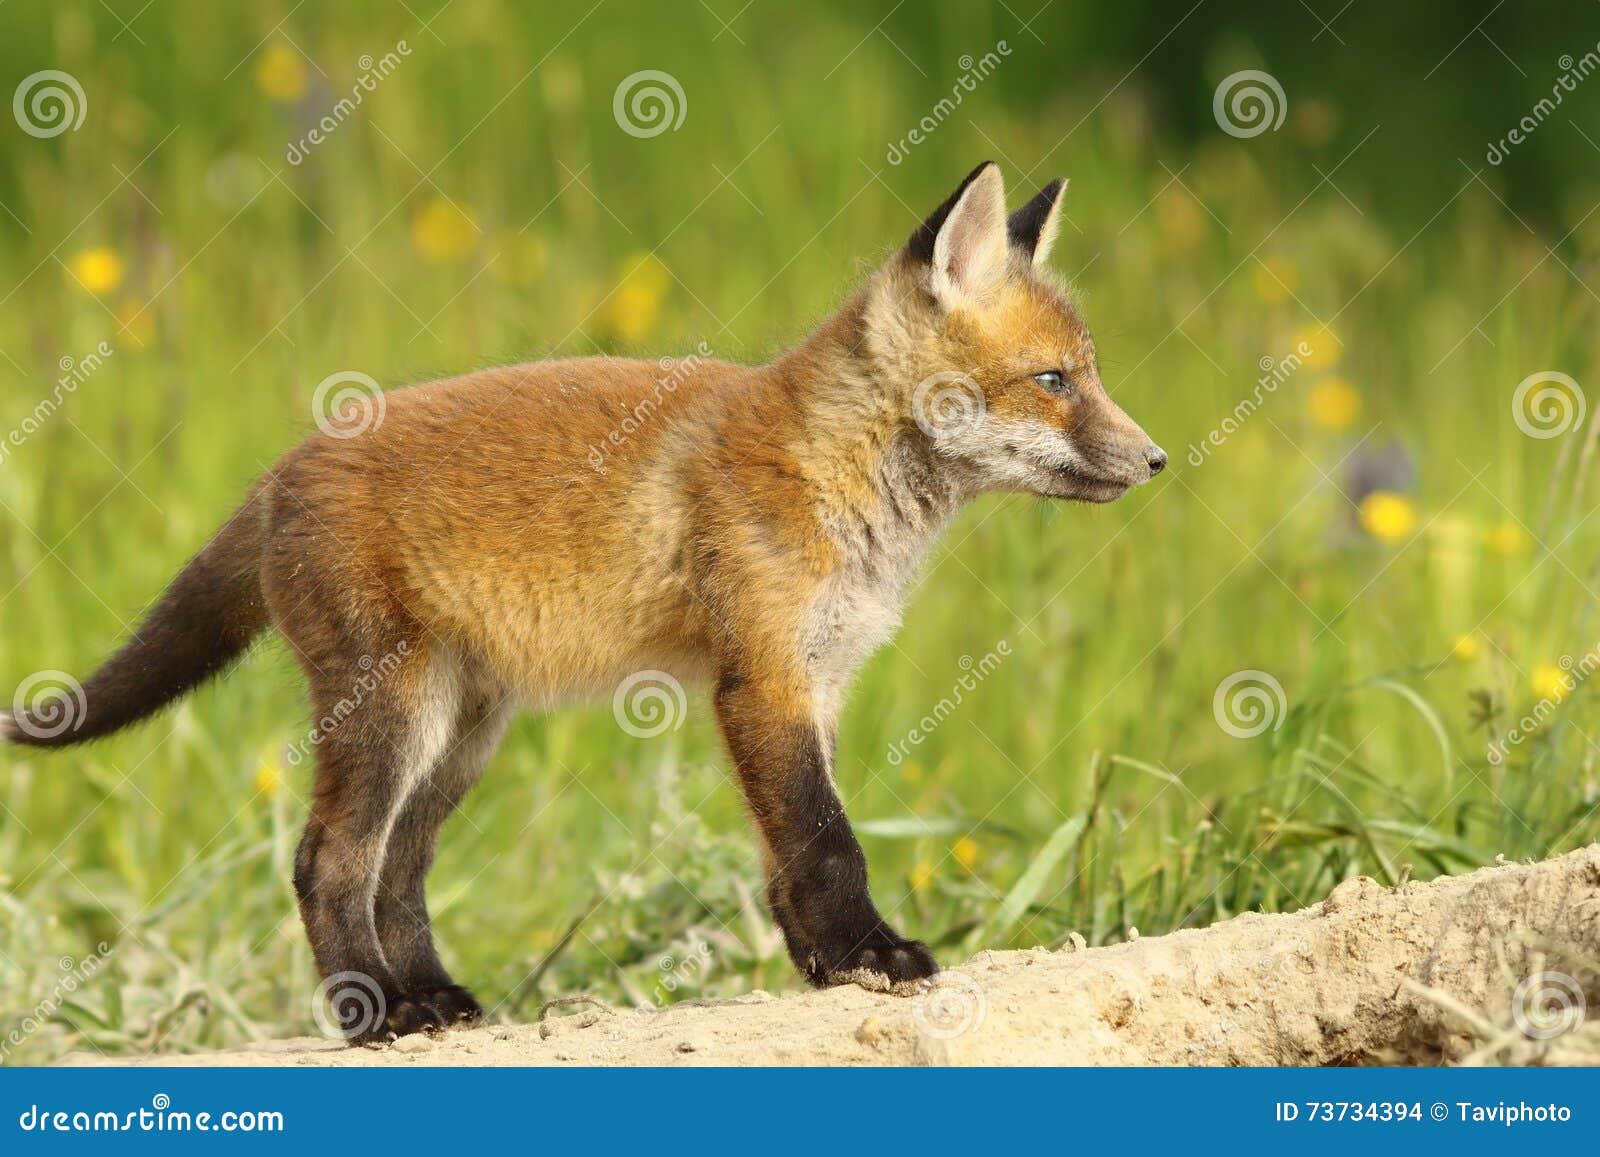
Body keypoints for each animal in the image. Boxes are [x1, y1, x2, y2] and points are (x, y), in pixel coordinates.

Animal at [2, 162, 1164, 1043]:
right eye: (1054, 381)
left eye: (1090, 373)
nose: (1156, 460)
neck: (835, 470)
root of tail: (278, 471)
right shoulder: (762, 680)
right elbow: (829, 838)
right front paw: (870, 953)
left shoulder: (813, 682)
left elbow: (786, 850)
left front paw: (822, 966)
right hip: (393, 716)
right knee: (326, 861)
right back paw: (377, 1013)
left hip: (461, 734)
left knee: (397, 873)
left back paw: (432, 998)